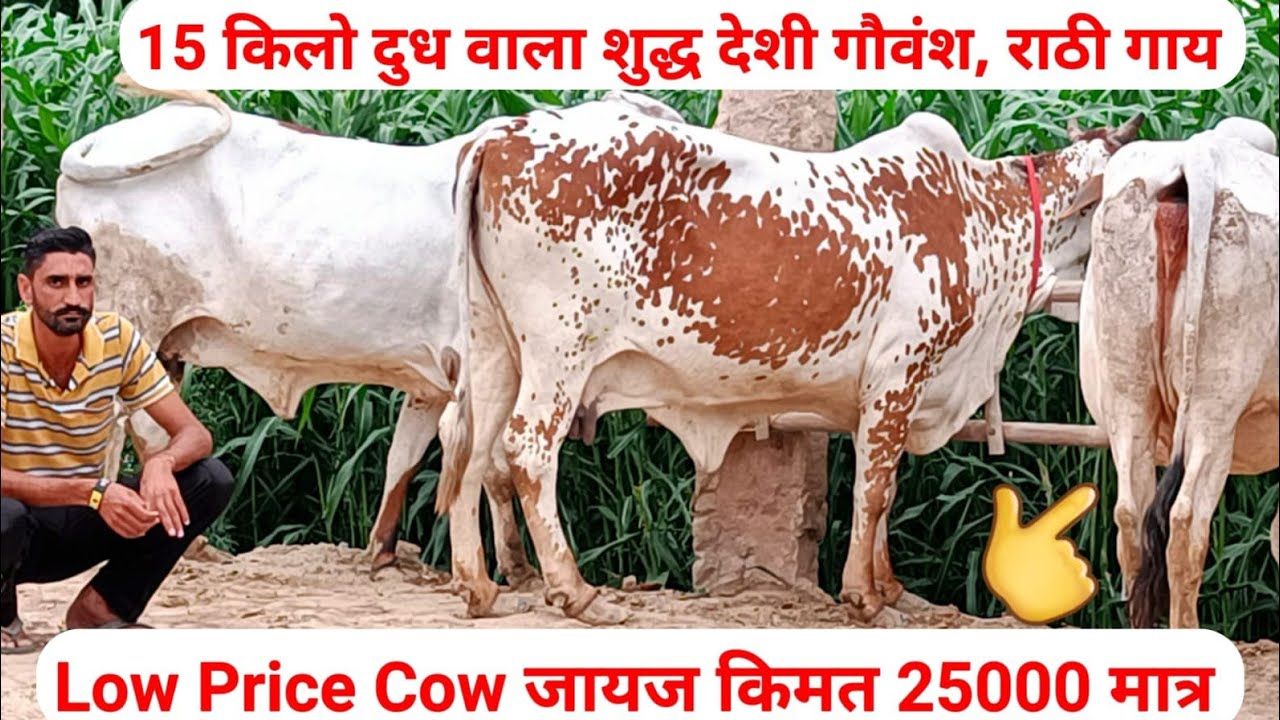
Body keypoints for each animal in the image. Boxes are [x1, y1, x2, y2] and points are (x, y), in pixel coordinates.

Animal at [53, 74, 684, 582]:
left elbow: (404, 458)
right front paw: (519, 570)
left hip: (165, 348)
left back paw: (194, 544)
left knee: (150, 432)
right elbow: (494, 468)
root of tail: (104, 139)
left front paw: (384, 552)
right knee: (111, 431)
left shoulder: (432, 380)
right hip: (130, 316)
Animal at [436, 102, 1145, 625]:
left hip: (495, 349)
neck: (982, 217)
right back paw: (576, 592)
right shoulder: (899, 370)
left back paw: (479, 586)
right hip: (559, 351)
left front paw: (889, 587)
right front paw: (865, 597)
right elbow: (874, 488)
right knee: (527, 448)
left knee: (470, 447)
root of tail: (503, 133)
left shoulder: (884, 392)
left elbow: (881, 487)